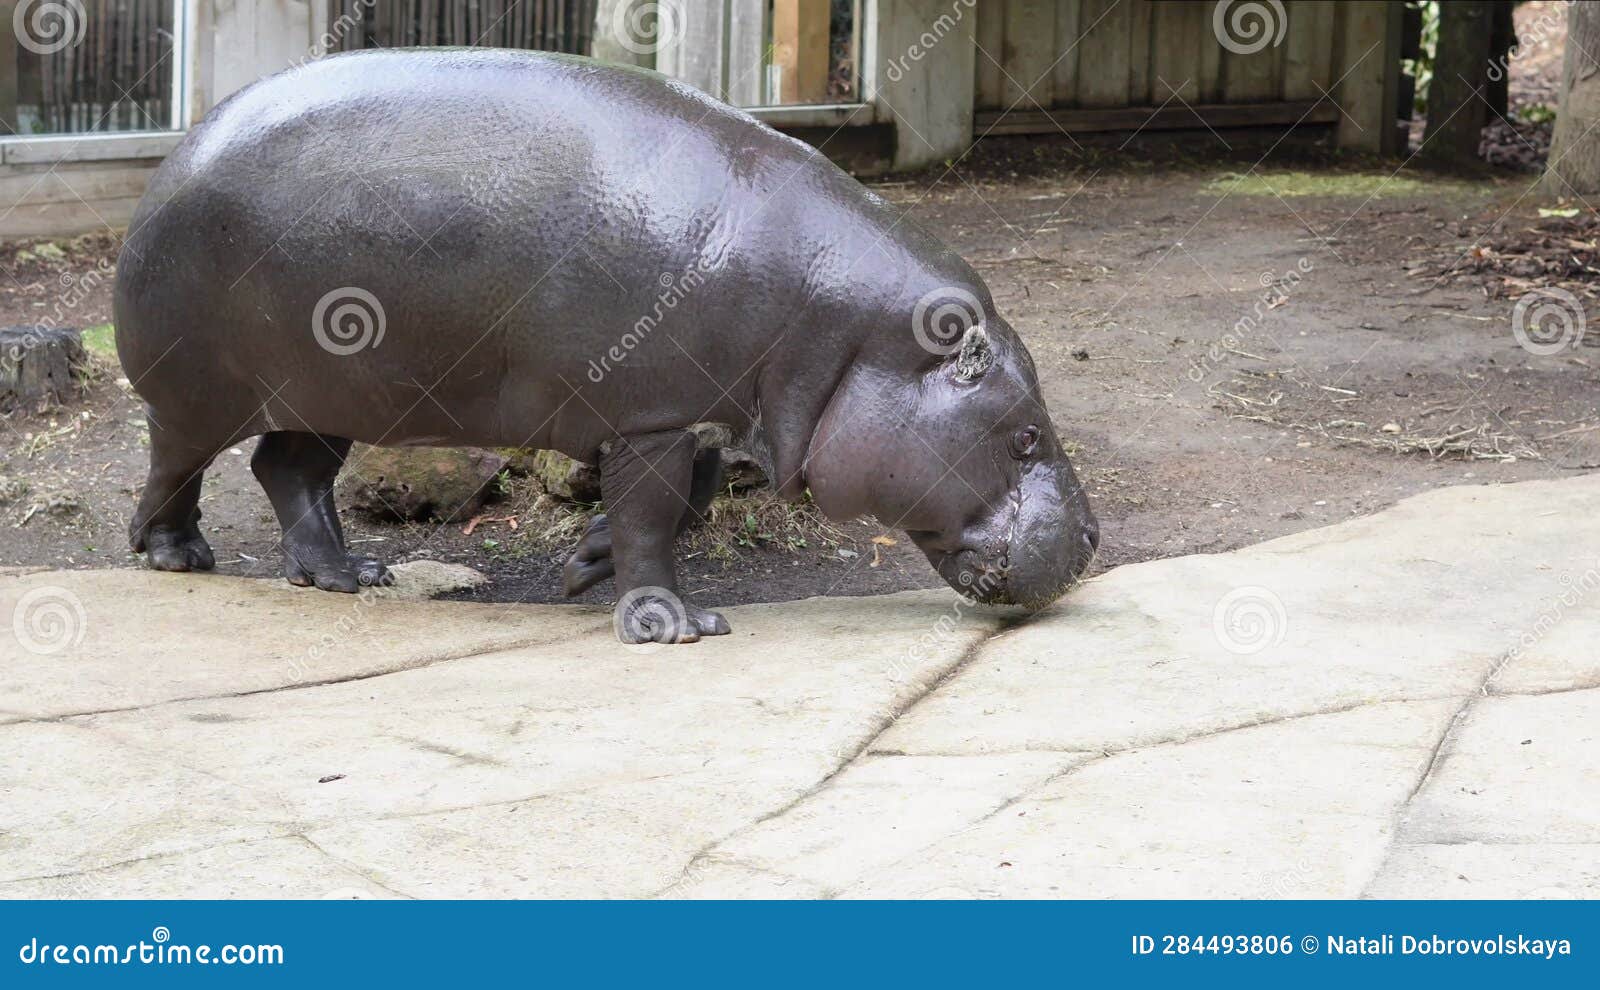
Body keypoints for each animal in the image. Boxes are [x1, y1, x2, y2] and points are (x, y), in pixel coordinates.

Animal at [115, 48, 1099, 644]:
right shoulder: (651, 413)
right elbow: (656, 511)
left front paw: (584, 564)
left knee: (289, 469)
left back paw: (348, 576)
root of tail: (177, 156)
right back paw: (176, 557)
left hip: (334, 390)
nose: (1091, 539)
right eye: (1025, 435)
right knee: (174, 466)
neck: (847, 329)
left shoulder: (685, 408)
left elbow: (688, 492)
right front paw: (673, 625)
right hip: (199, 390)